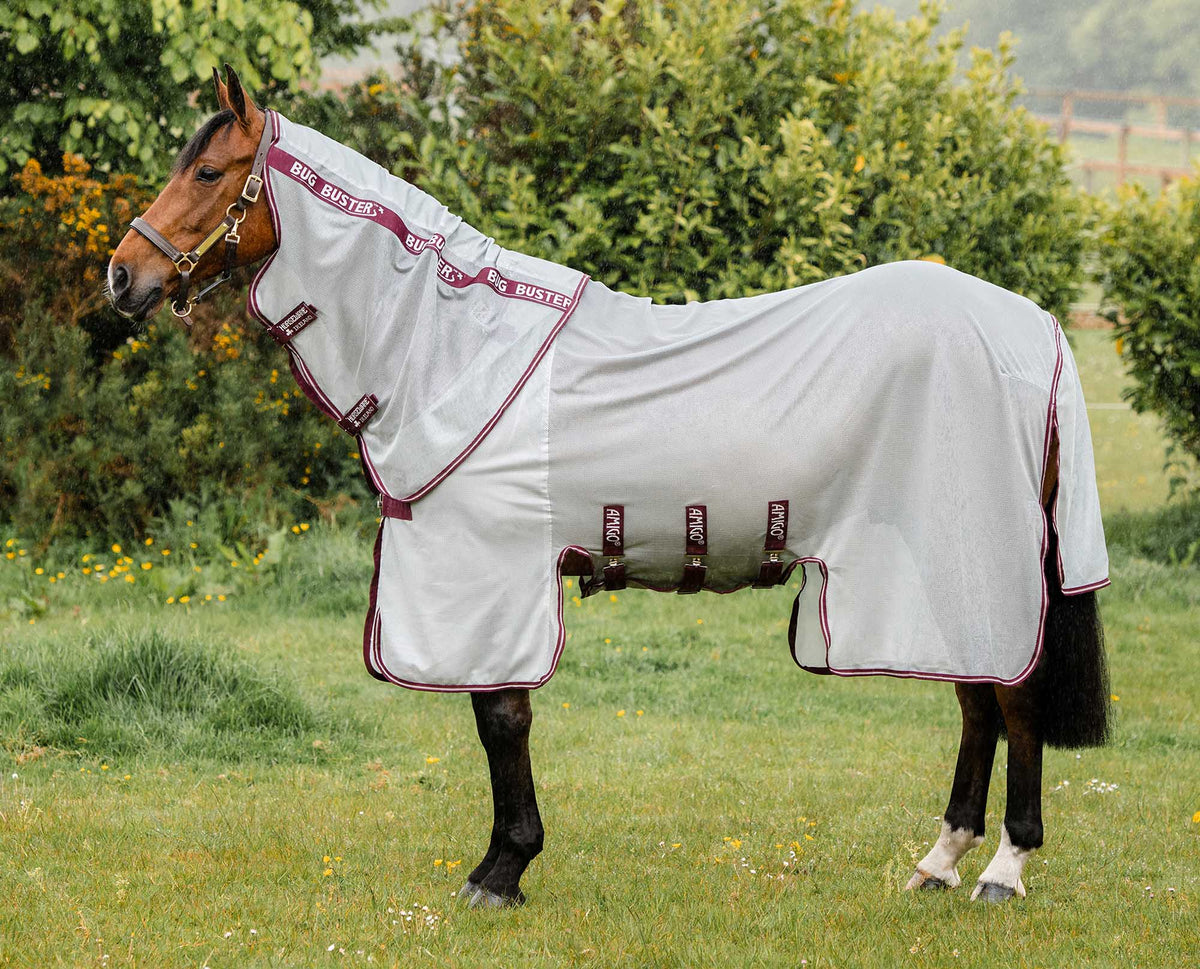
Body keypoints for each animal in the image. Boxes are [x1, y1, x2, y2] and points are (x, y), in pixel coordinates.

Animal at [107, 66, 1111, 908]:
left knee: (1014, 703)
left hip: (966, 559)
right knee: (978, 704)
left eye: (208, 172)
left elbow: (501, 718)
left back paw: (1004, 868)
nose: (124, 274)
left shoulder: (491, 573)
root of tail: (1035, 327)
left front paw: (502, 869)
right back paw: (939, 860)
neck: (452, 346)